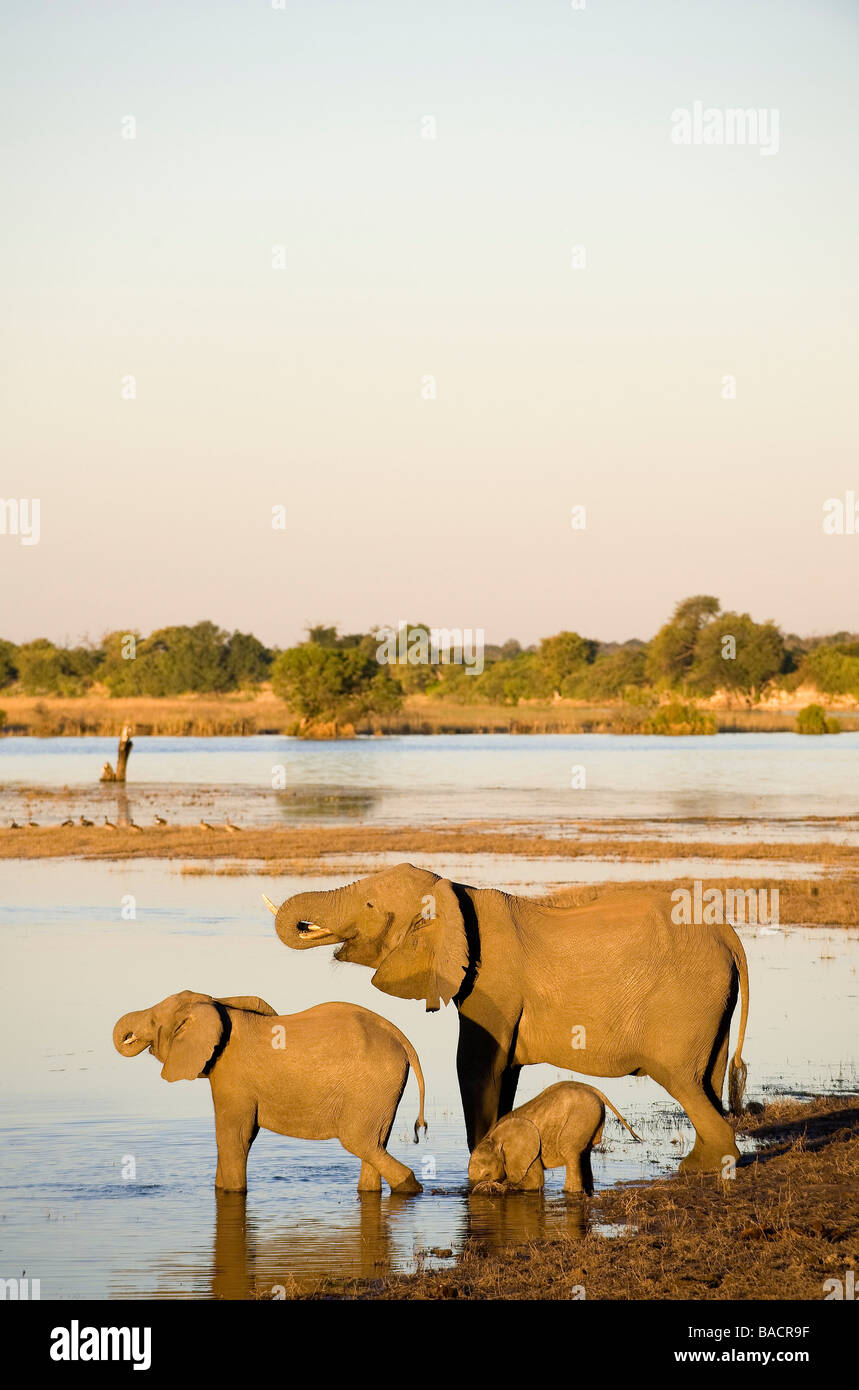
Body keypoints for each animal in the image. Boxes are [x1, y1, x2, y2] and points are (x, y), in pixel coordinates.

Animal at [113, 991, 427, 1194]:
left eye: (153, 1021)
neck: (216, 1005)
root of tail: (400, 1036)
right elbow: (240, 1138)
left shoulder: (232, 1076)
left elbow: (233, 1138)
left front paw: (232, 1192)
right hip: (382, 1089)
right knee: (375, 1144)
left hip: (372, 1084)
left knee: (358, 1141)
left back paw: (411, 1186)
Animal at [268, 864, 750, 1172]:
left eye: (369, 905)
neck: (453, 895)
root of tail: (727, 934)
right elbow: (504, 1072)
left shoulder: (491, 984)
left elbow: (475, 1067)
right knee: (707, 1080)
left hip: (686, 1000)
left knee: (682, 1080)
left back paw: (697, 1169)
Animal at [467, 1081, 641, 1195]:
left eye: (487, 1175)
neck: (493, 1138)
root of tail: (595, 1090)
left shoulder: (526, 1150)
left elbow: (534, 1182)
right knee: (584, 1153)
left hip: (580, 1116)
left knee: (569, 1151)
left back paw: (569, 1192)